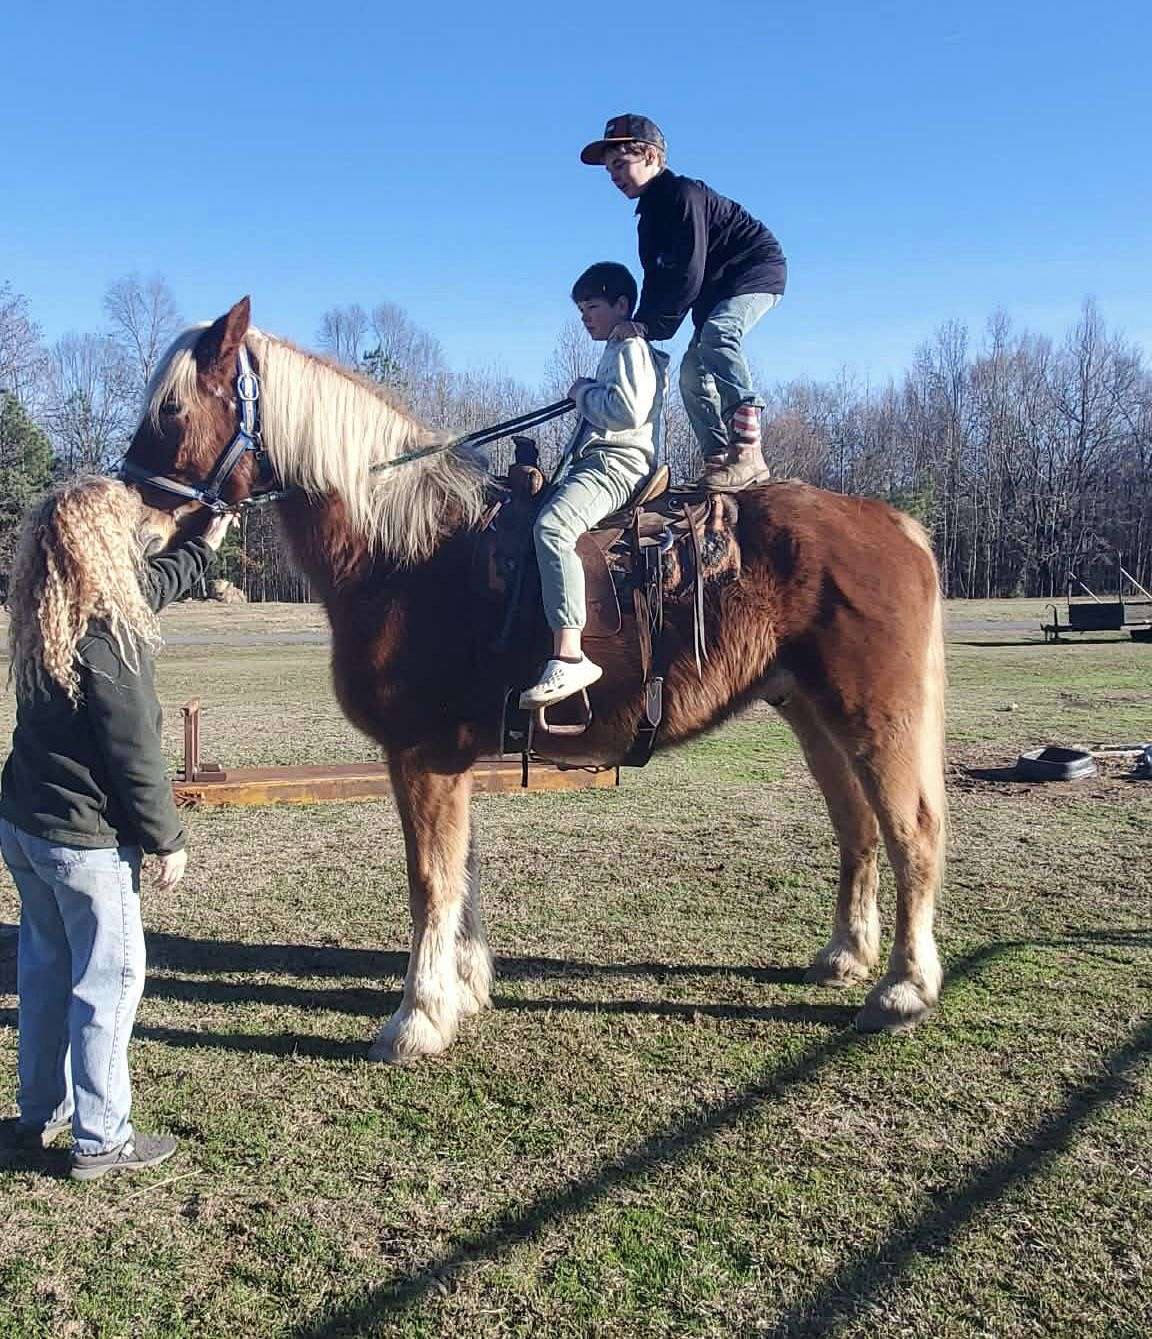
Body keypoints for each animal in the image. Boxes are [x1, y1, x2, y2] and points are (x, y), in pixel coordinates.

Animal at [123, 297, 947, 1063]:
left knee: (912, 832)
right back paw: (846, 956)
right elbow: (460, 874)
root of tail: (892, 522)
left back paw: (903, 990)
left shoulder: (420, 754)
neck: (412, 551)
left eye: (172, 409)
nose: (136, 521)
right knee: (857, 827)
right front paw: (462, 988)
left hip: (876, 718)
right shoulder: (449, 759)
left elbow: (430, 881)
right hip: (812, 713)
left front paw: (417, 1018)